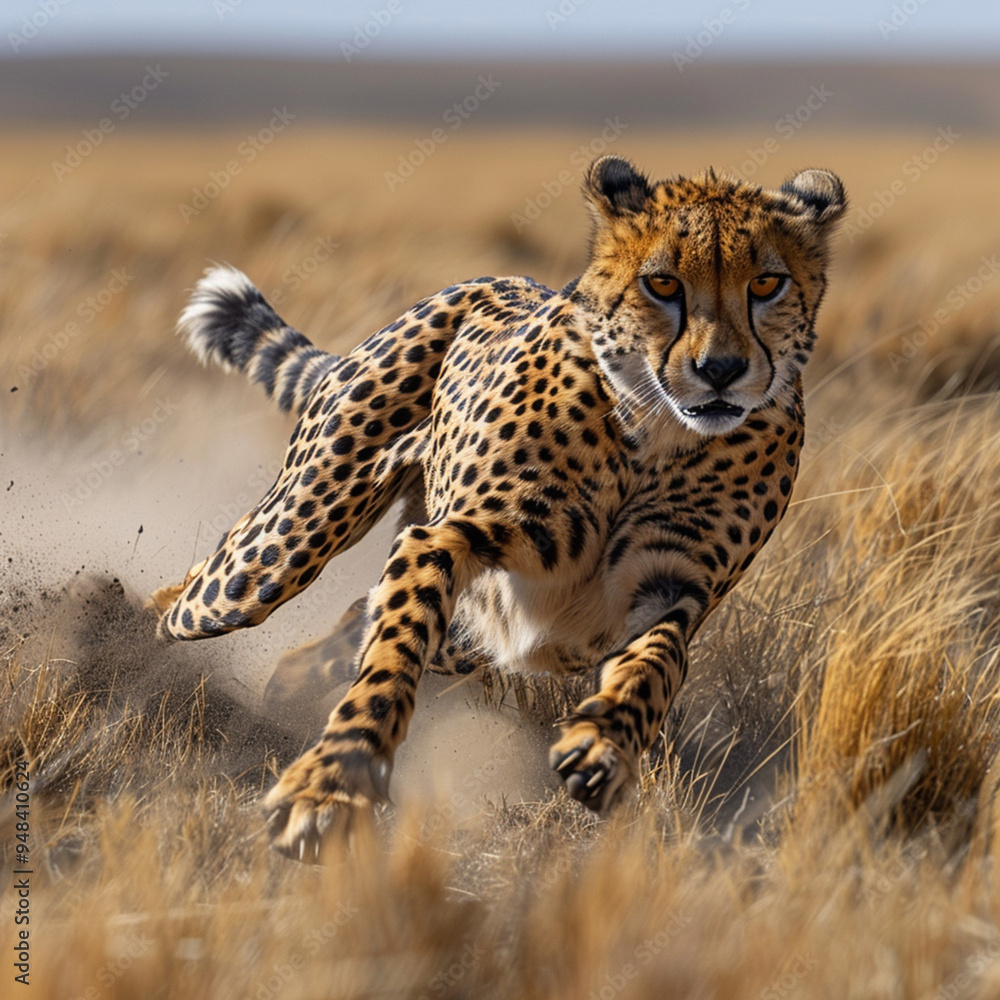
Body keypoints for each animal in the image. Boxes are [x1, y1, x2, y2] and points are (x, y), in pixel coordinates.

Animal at [150, 155, 846, 860]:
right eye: (662, 283)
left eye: (767, 283)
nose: (720, 371)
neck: (654, 432)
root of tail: (484, 279)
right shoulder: (444, 540)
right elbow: (389, 662)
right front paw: (330, 786)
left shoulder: (670, 586)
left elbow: (655, 666)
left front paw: (604, 745)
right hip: (279, 552)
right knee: (187, 599)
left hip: (463, 636)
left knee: (338, 630)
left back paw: (275, 695)